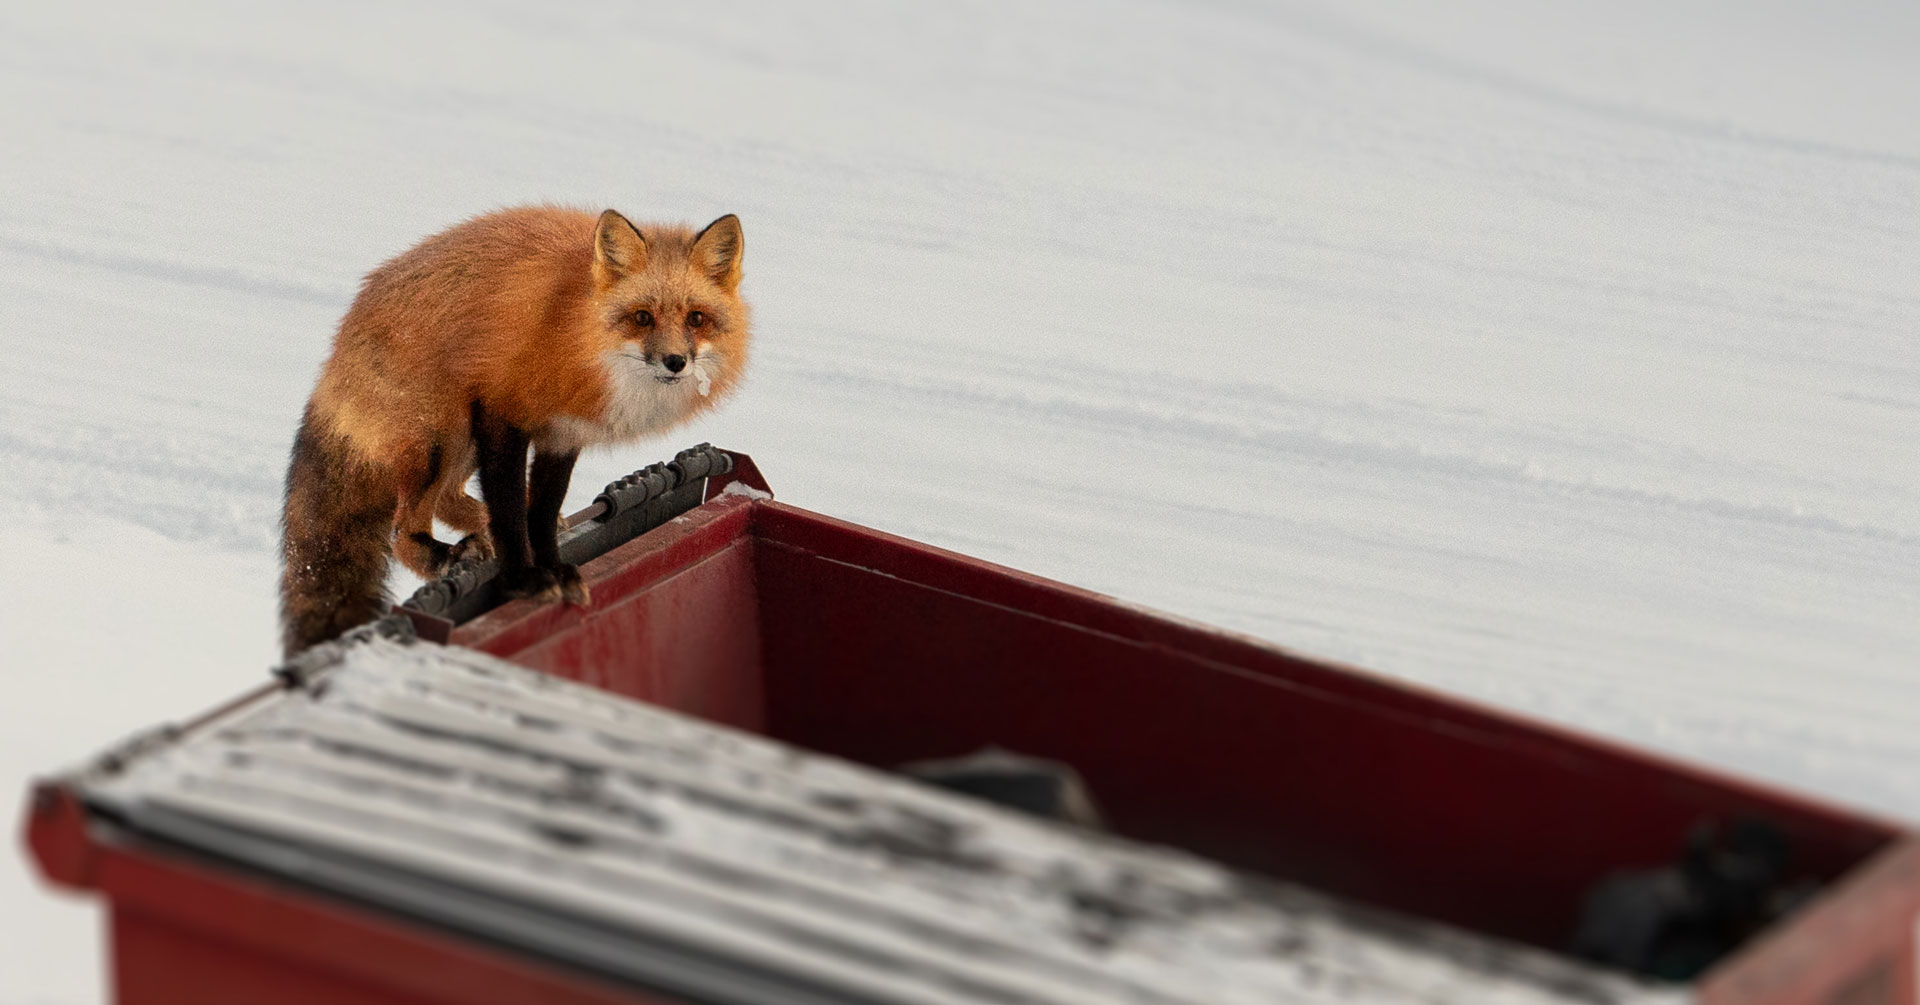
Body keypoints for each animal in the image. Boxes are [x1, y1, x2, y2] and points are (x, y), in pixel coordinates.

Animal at [280, 206, 749, 657]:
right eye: (642, 317)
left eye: (696, 319)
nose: (675, 362)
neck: (570, 332)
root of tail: (334, 357)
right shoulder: (500, 412)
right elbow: (507, 509)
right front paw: (524, 580)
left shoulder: (562, 433)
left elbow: (539, 512)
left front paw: (553, 568)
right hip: (441, 434)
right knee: (404, 533)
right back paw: (448, 554)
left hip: (459, 443)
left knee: (449, 499)